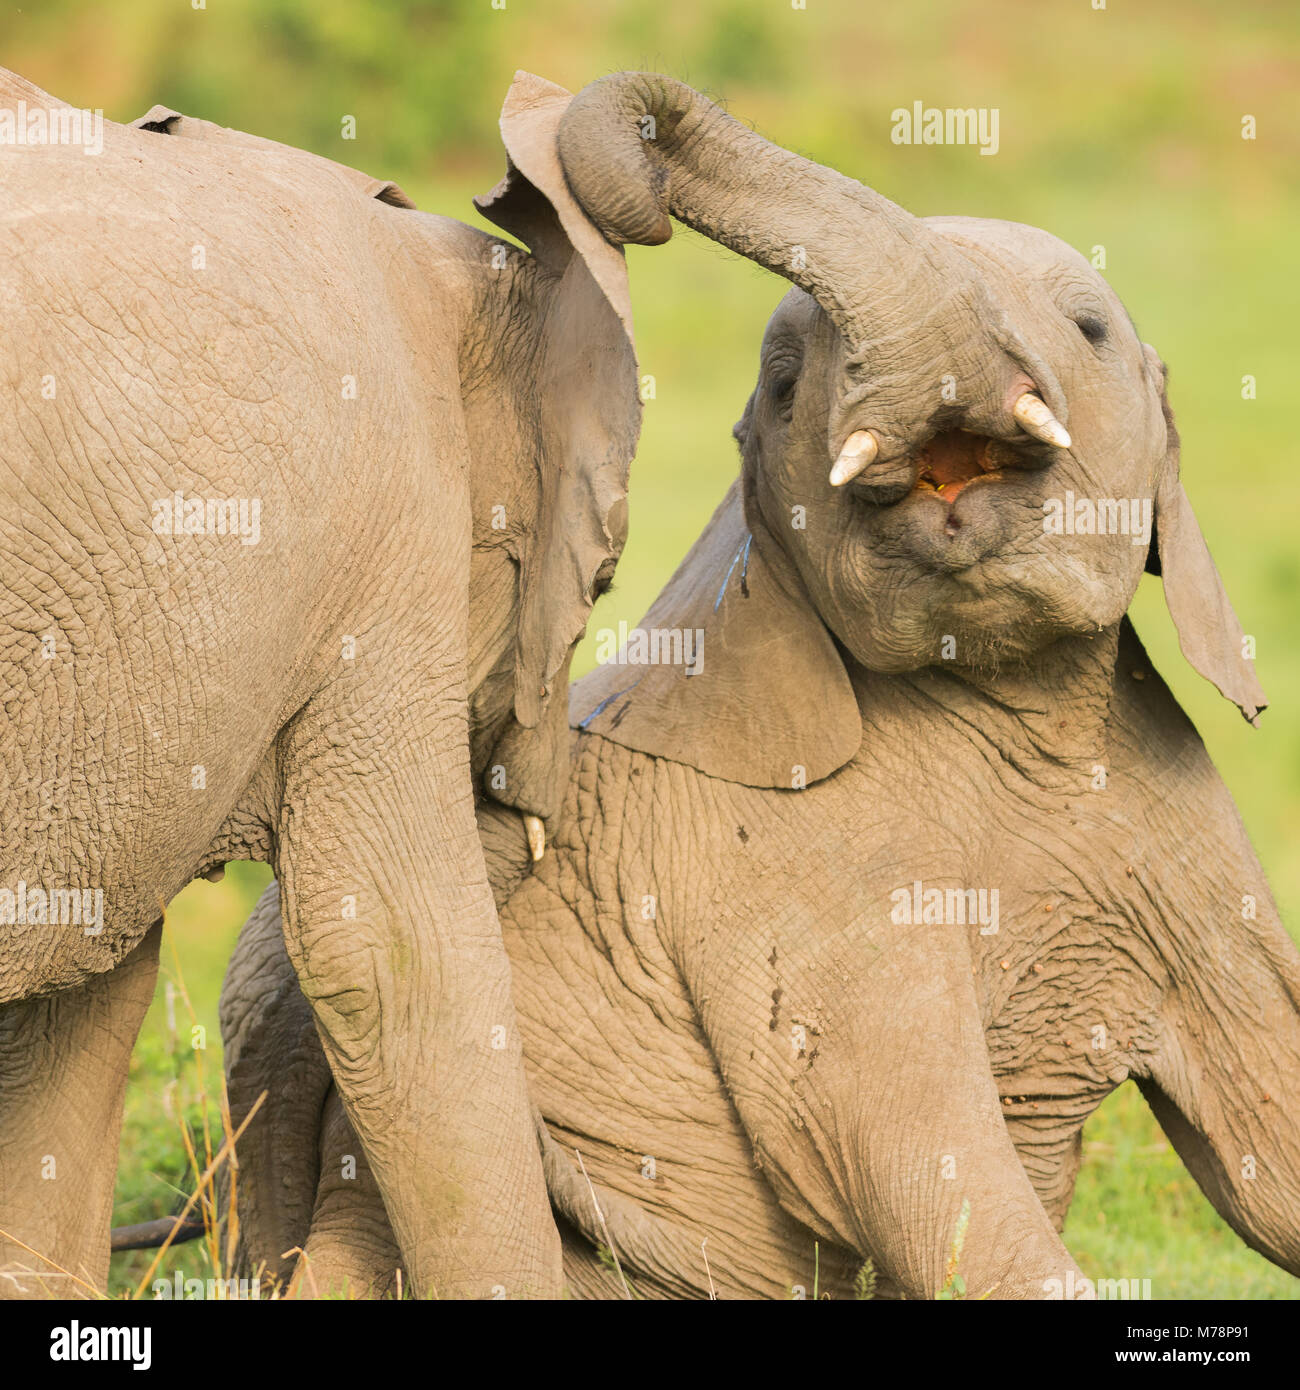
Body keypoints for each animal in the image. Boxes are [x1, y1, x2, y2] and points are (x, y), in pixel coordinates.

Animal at [203, 73, 1298, 1301]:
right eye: (783, 388)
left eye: (1093, 331)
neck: (1009, 694)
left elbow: (1268, 1131)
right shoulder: (793, 883)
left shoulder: (1183, 832)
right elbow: (920, 1165)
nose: (541, 163)